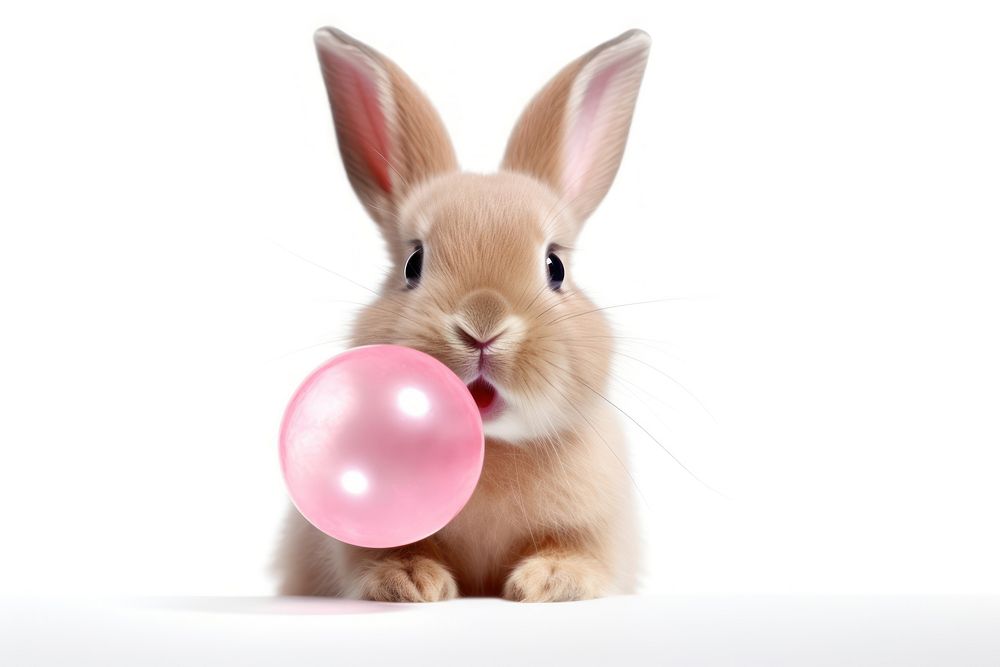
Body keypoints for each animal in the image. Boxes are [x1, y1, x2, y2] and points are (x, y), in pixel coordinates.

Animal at [275, 26, 651, 602]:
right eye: (413, 263)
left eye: (555, 267)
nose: (482, 325)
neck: (488, 451)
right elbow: (379, 555)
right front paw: (410, 582)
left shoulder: (599, 529)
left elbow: (579, 553)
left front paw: (549, 582)